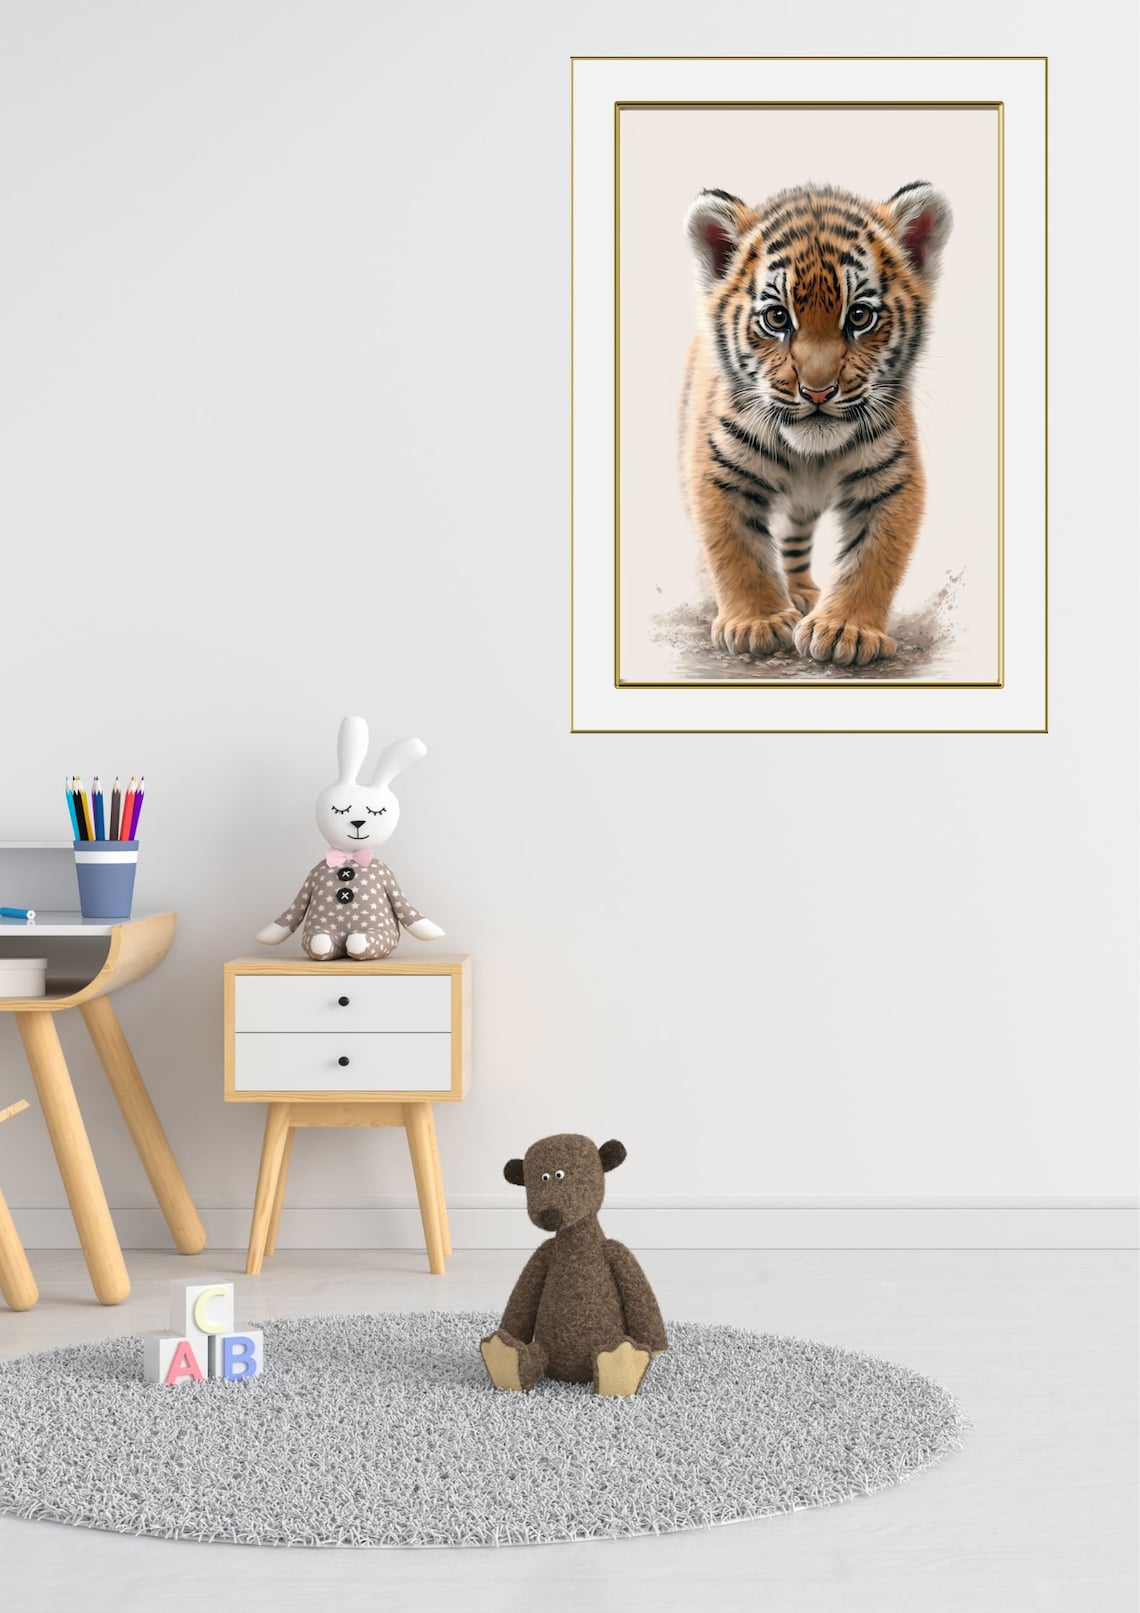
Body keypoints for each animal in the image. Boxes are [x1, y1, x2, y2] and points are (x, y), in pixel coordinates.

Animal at [679, 180, 952, 666]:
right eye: (777, 318)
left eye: (859, 316)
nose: (819, 392)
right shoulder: (719, 471)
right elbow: (737, 549)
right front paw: (758, 622)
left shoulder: (891, 477)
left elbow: (873, 558)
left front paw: (846, 629)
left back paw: (803, 593)